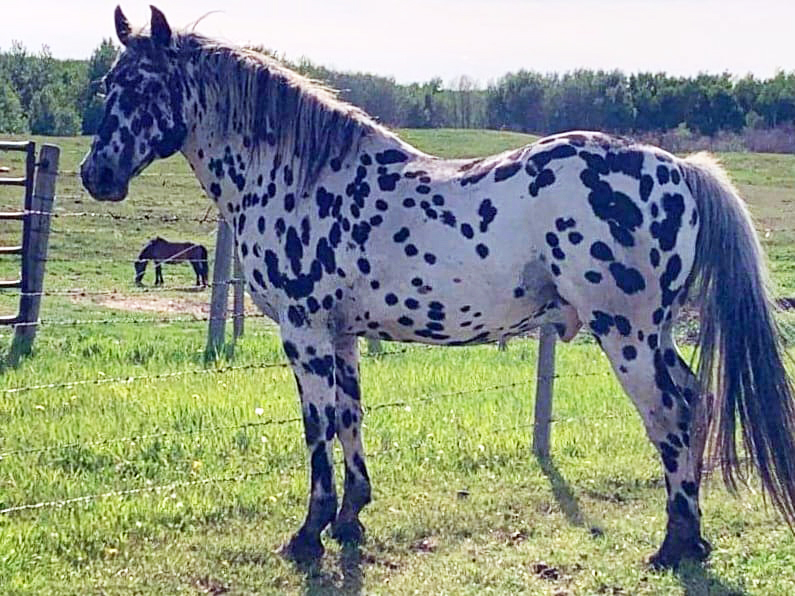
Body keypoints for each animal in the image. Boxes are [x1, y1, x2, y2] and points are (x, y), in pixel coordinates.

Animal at [80, 6, 795, 569]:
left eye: (141, 86)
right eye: (109, 84)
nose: (97, 175)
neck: (297, 175)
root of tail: (678, 167)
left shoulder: (303, 332)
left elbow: (316, 428)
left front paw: (310, 533)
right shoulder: (342, 335)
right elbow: (350, 417)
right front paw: (351, 518)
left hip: (628, 335)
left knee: (669, 416)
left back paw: (674, 546)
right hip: (657, 333)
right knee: (694, 403)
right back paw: (692, 540)